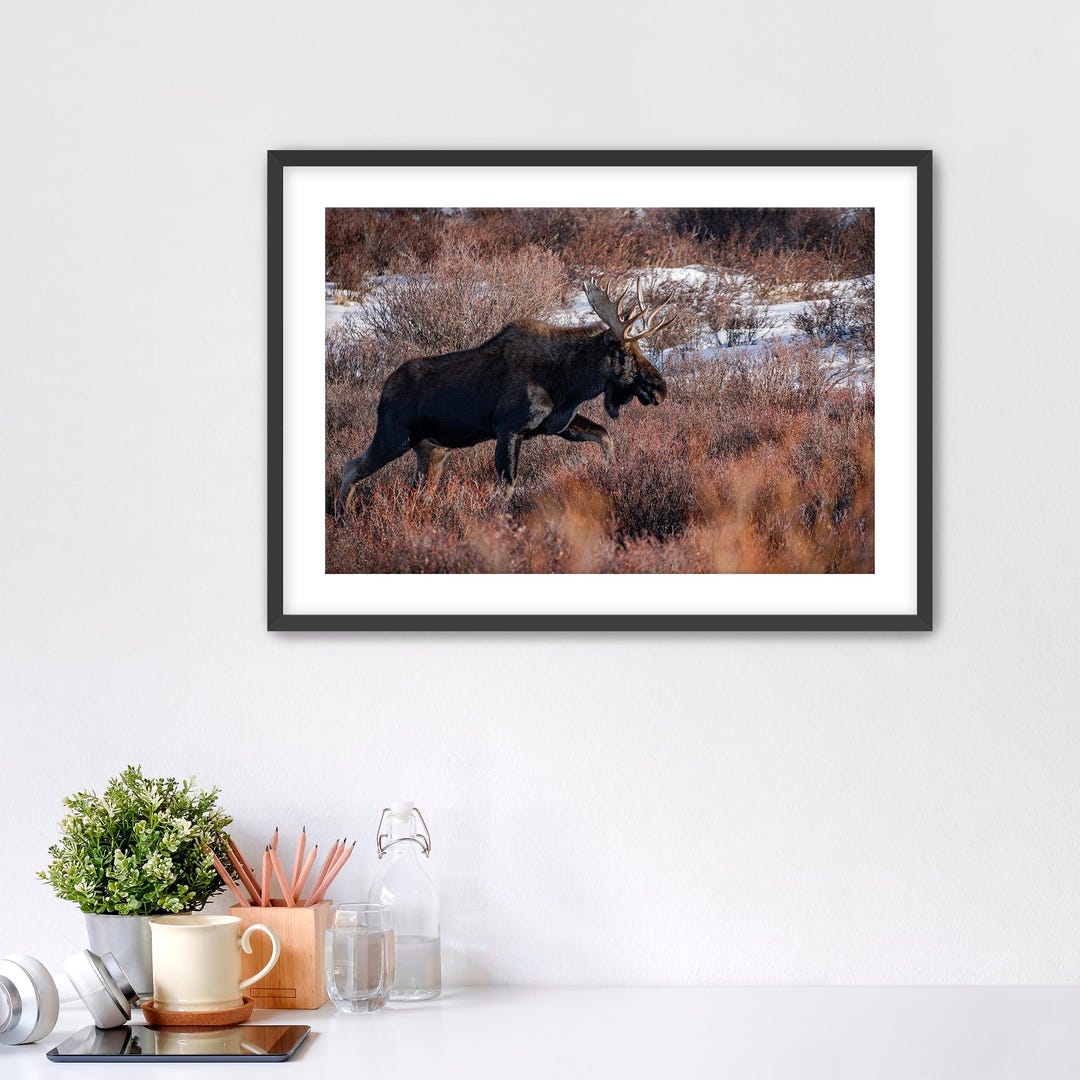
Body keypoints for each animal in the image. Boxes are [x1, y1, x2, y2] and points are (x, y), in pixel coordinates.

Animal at [333, 277, 674, 516]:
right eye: (625, 352)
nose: (661, 388)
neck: (570, 381)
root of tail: (383, 390)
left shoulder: (558, 424)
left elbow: (605, 437)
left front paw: (613, 473)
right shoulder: (509, 429)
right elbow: (507, 488)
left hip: (431, 451)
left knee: (418, 490)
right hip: (393, 437)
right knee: (351, 466)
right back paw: (342, 515)